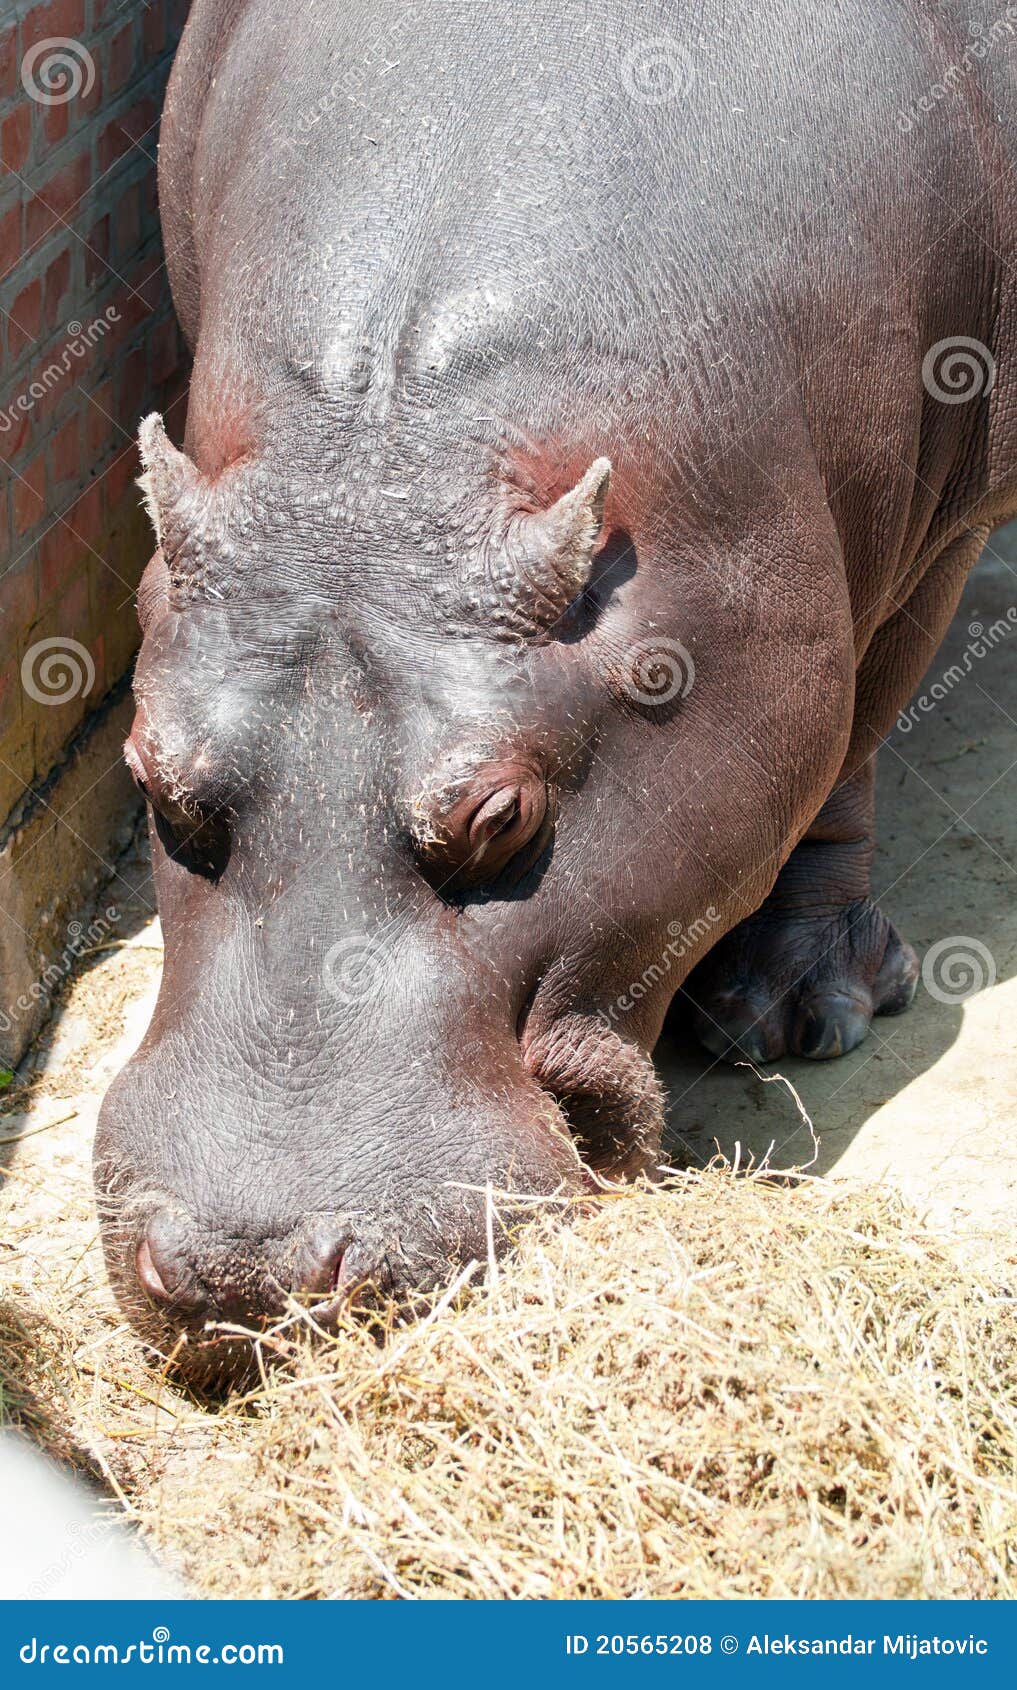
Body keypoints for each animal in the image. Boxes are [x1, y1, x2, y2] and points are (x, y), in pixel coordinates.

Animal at [96, 0, 1017, 1380]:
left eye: (503, 818)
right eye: (152, 778)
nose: (244, 1272)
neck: (392, 458)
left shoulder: (934, 537)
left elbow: (851, 747)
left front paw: (799, 1012)